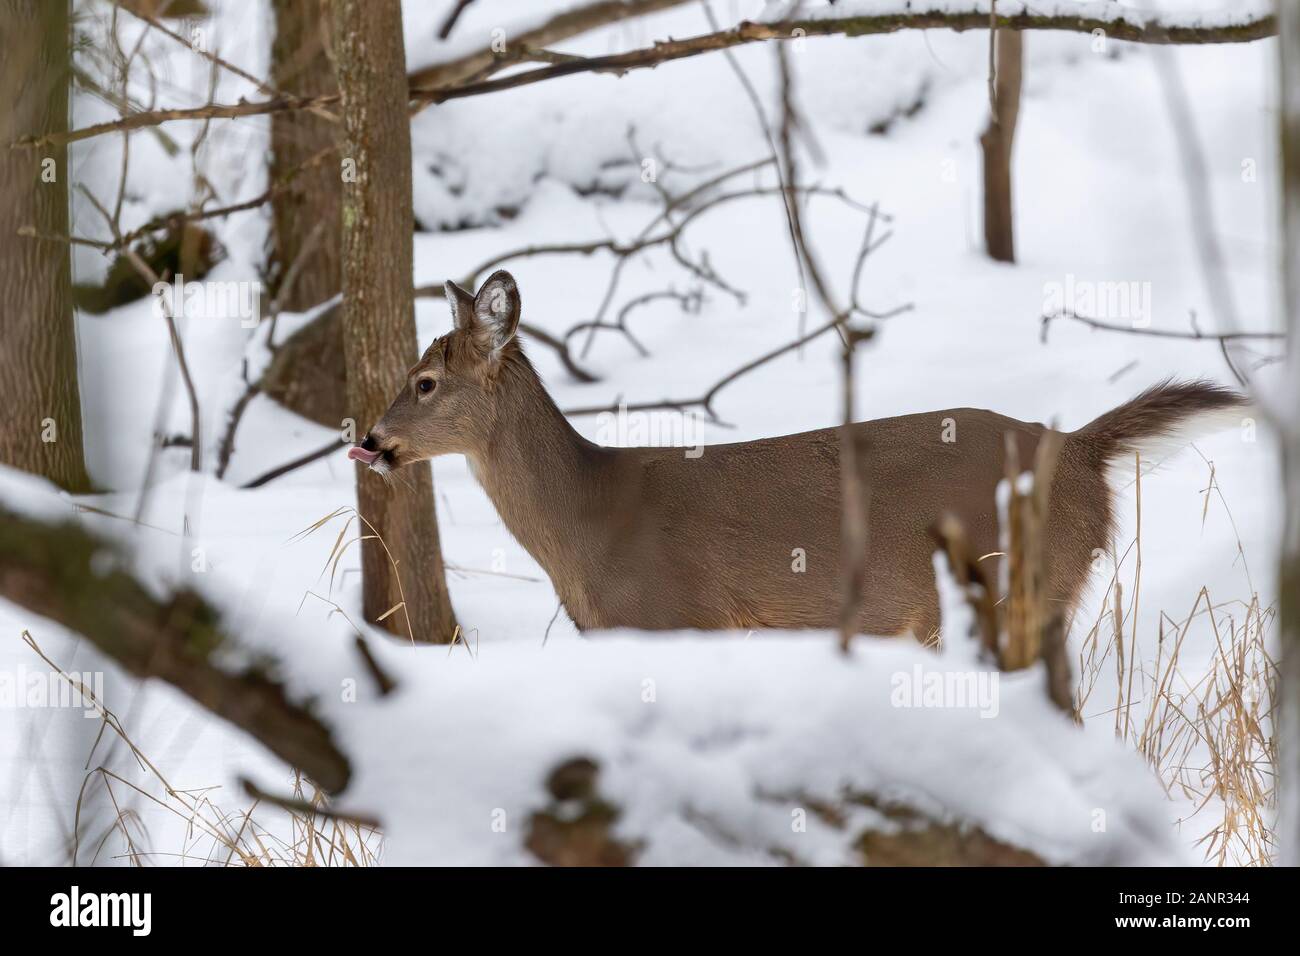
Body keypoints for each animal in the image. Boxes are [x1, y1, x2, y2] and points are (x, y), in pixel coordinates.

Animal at [348, 270, 1247, 641]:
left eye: (425, 381)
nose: (369, 441)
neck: (591, 522)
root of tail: (1085, 453)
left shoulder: (679, 617)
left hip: (1019, 581)